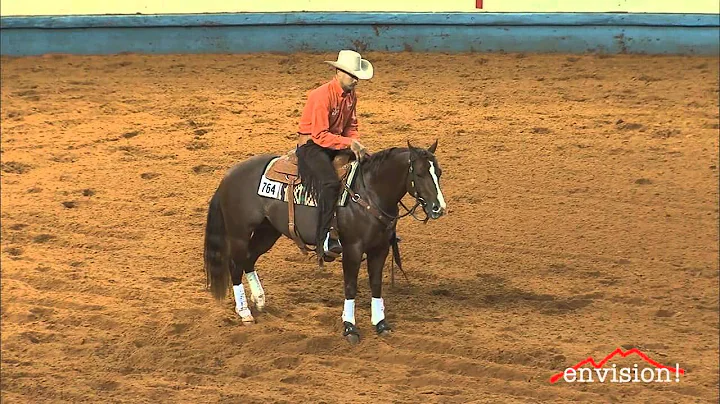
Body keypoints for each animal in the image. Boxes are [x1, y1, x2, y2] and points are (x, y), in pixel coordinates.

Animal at [202, 140, 448, 342]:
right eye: (419, 173)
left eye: (438, 172)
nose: (439, 208)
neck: (369, 194)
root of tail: (229, 175)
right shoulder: (352, 249)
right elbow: (350, 286)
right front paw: (350, 328)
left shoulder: (380, 249)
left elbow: (376, 284)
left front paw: (381, 324)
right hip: (239, 233)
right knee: (235, 265)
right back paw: (245, 312)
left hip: (268, 231)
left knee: (249, 260)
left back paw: (260, 301)